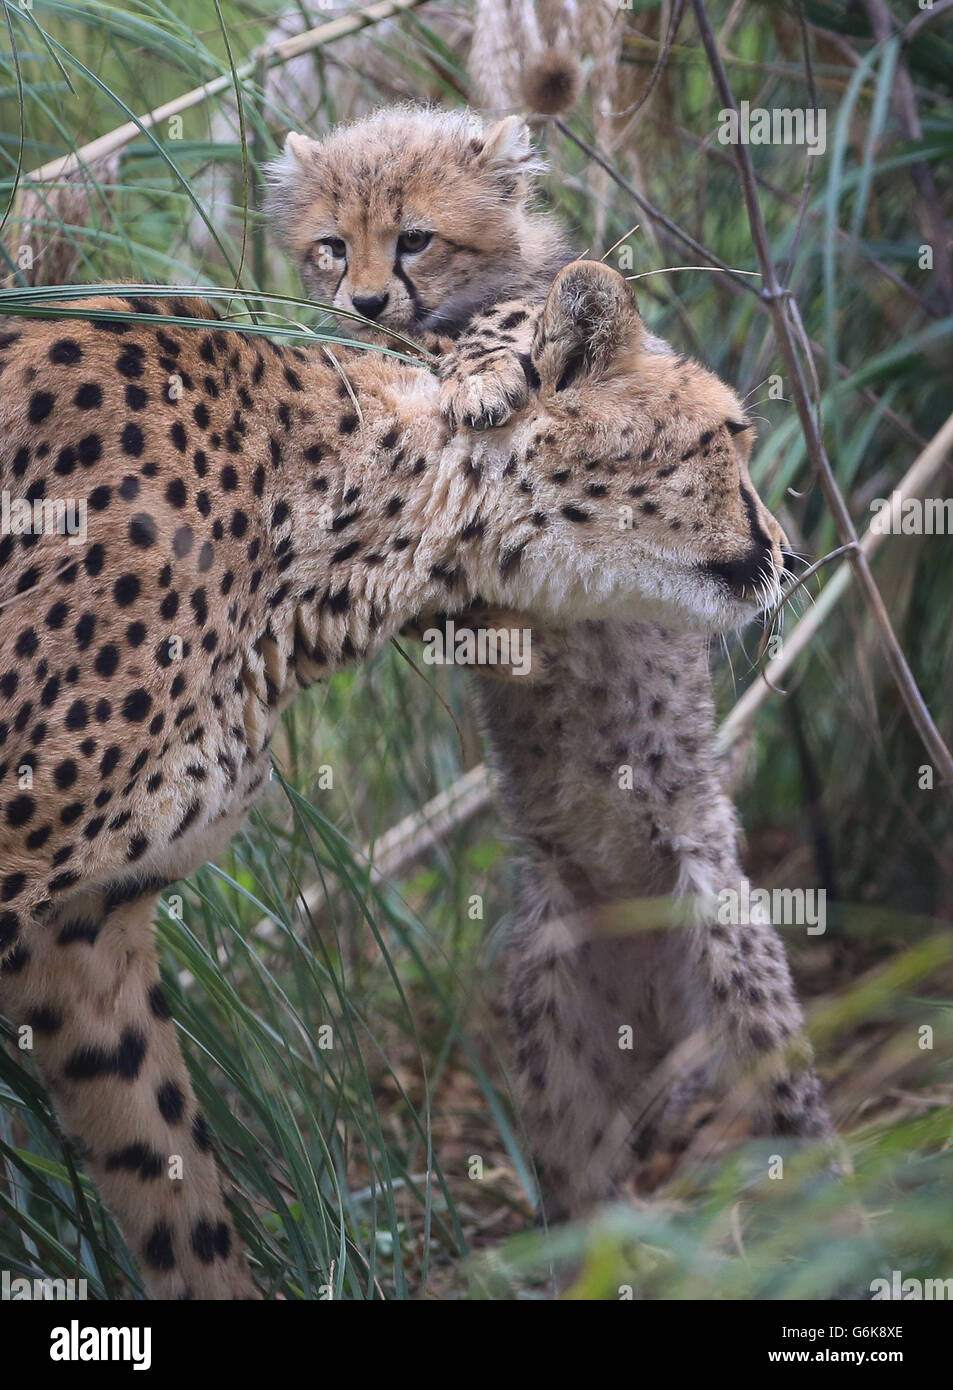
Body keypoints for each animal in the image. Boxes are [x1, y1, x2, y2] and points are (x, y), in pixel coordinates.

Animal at [265, 104, 833, 1223]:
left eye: (415, 238)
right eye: (330, 246)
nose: (364, 299)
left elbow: (514, 328)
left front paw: (490, 371)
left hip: (731, 952)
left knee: (797, 1111)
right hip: (549, 1002)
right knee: (577, 1171)